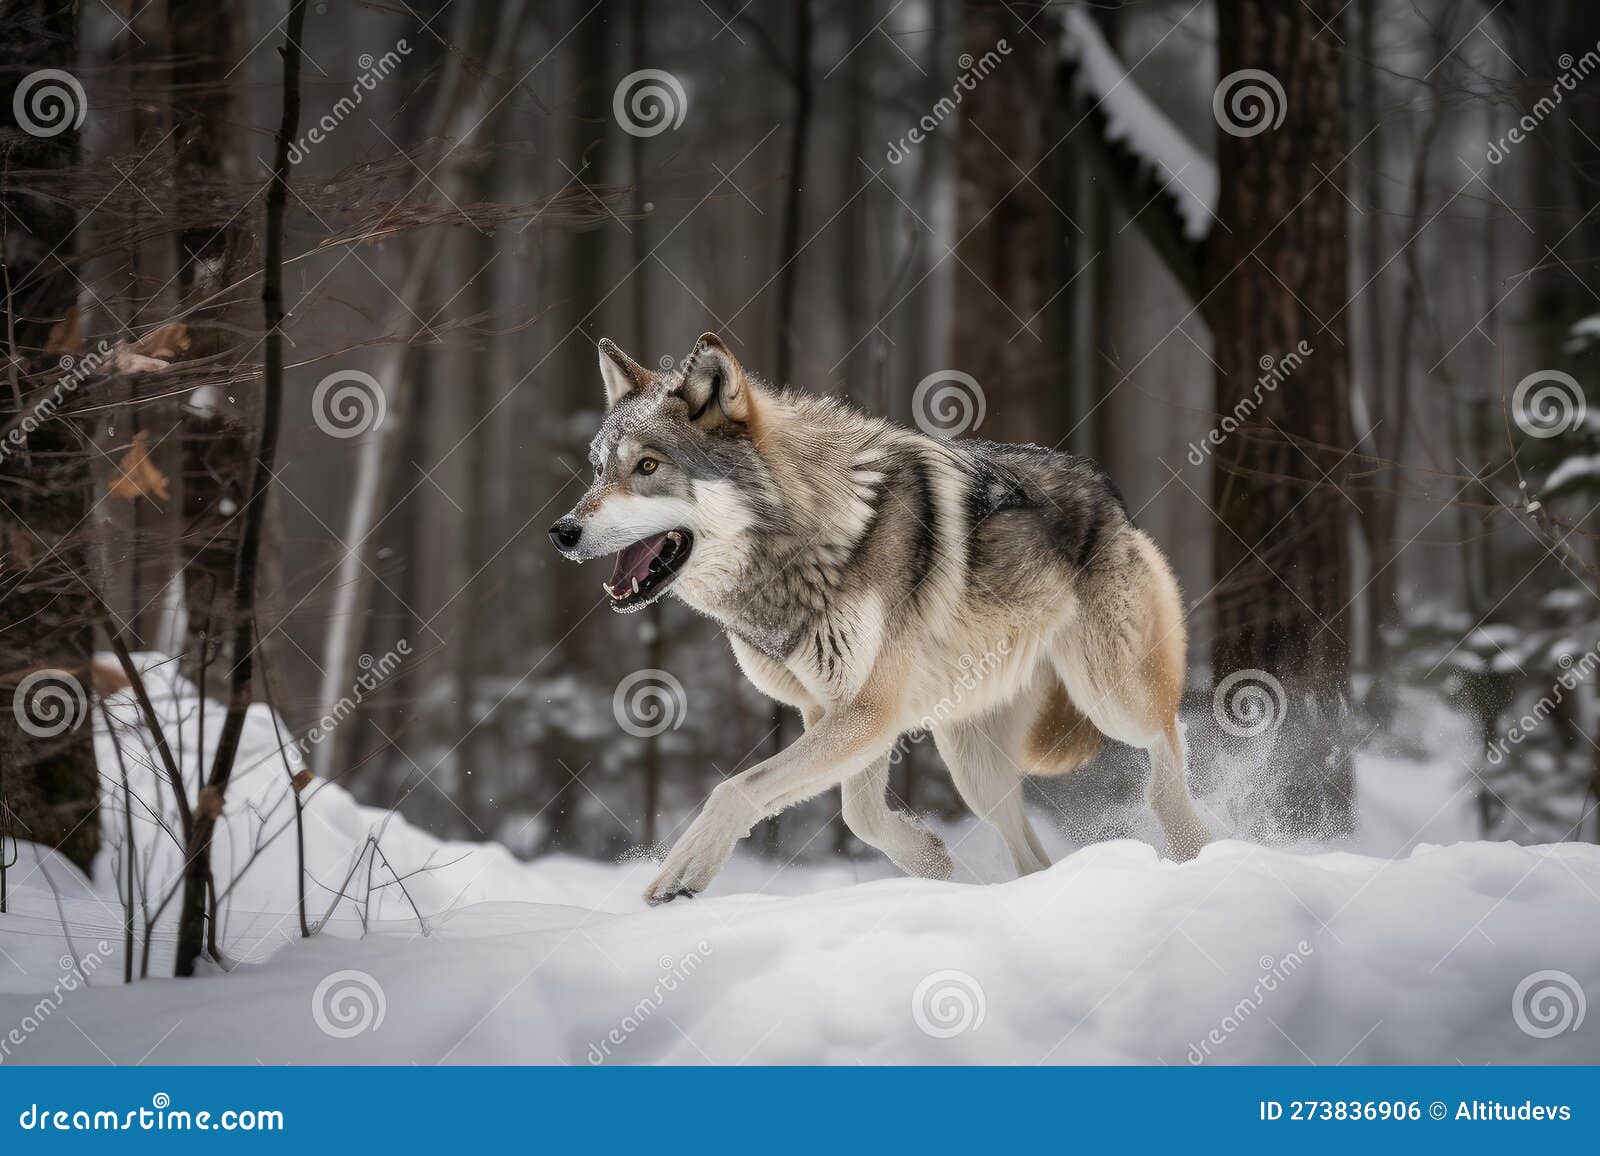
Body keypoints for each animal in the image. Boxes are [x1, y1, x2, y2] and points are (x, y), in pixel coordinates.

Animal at [551, 334, 1211, 905]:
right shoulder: (836, 712)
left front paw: (680, 874)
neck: (807, 540)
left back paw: (1191, 847)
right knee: (1034, 857)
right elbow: (859, 814)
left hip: (1110, 696)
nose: (561, 532)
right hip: (972, 763)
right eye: (598, 470)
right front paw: (930, 860)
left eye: (648, 467)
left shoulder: (870, 709)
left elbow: (734, 789)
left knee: (1169, 740)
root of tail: (1112, 496)